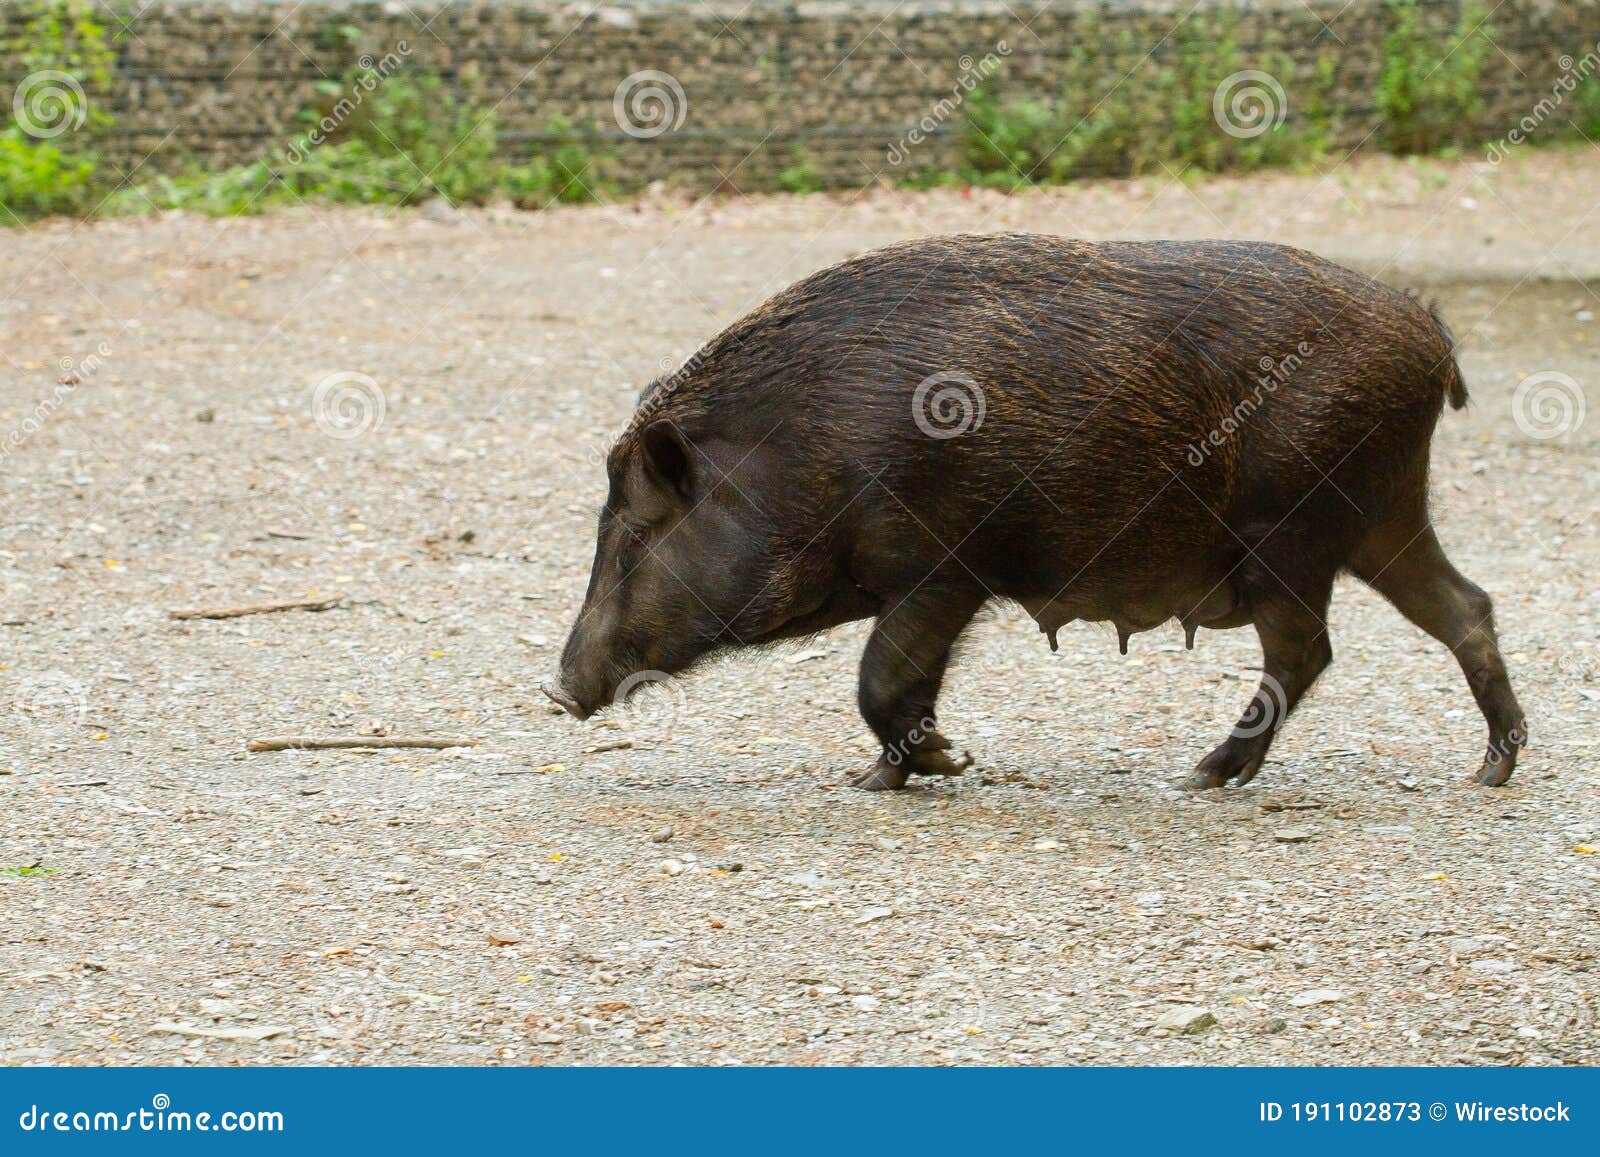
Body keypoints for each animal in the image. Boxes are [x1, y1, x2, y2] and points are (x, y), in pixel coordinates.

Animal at [545, 234, 1526, 792]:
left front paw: (940, 765)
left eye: (634, 531)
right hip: (1382, 518)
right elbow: (900, 685)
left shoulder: (945, 566)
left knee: (1308, 649)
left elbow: (879, 677)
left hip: (1294, 532)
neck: (802, 454)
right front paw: (881, 778)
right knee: (1466, 607)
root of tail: (1430, 337)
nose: (556, 689)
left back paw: (1202, 777)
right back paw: (1491, 770)